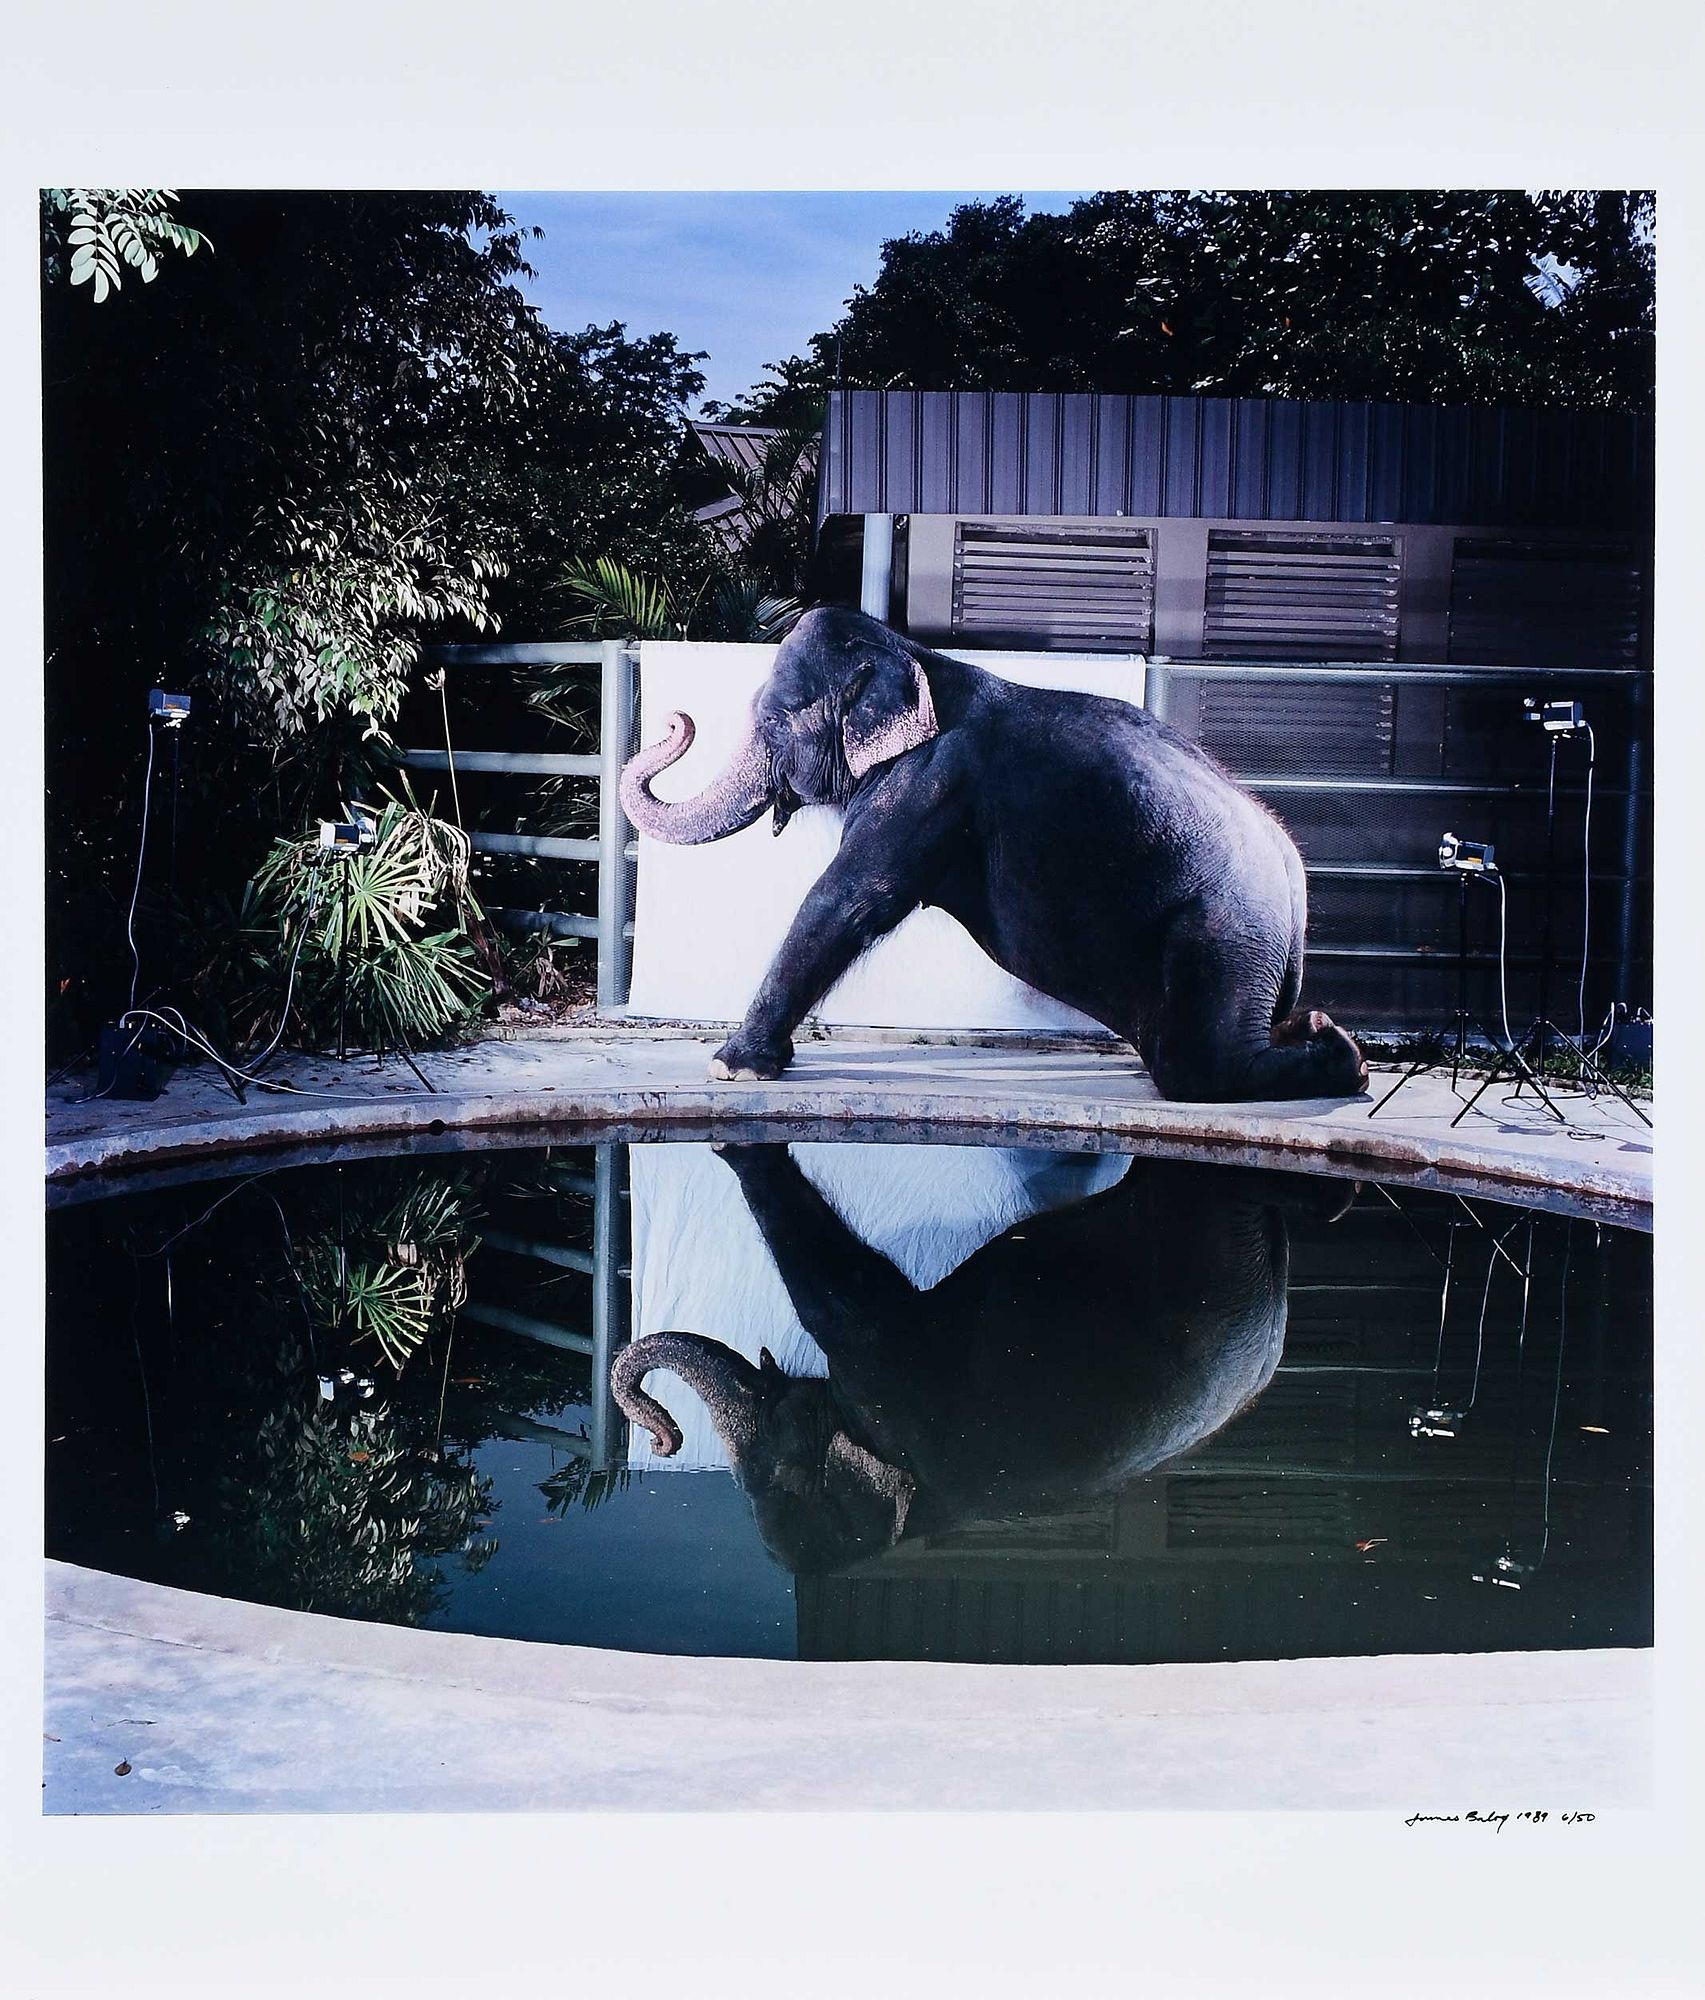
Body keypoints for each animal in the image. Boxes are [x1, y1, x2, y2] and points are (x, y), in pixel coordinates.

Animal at [620, 604, 1367, 1102]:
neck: (918, 656)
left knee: (1198, 1066)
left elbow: (851, 898)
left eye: (773, 719)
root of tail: (1295, 878)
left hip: (1224, 928)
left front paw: (732, 1068)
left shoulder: (929, 785)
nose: (675, 719)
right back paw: (1316, 1030)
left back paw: (1345, 1057)